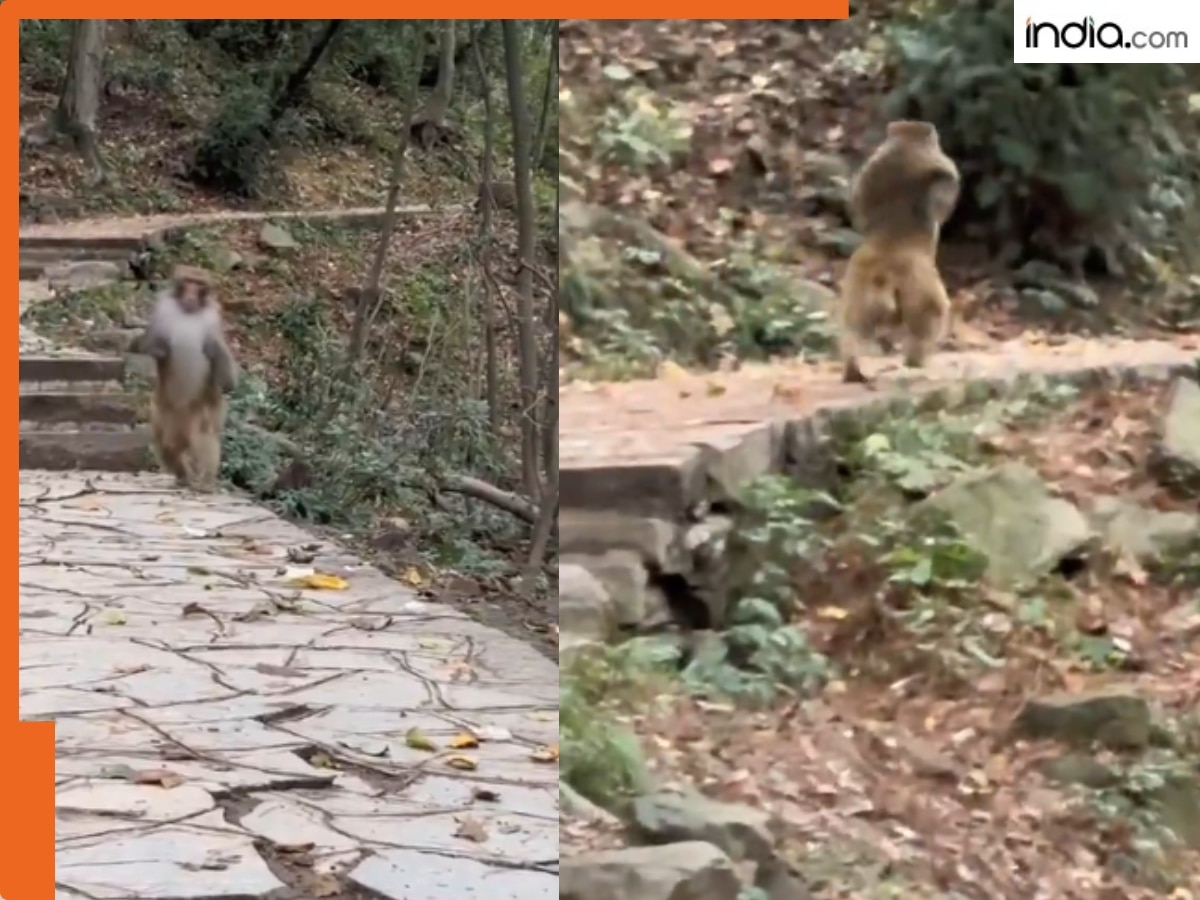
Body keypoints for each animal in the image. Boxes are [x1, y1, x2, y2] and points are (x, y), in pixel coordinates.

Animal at [129, 265, 237, 491]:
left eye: (199, 284)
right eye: (188, 281)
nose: (191, 294)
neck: (188, 311)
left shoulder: (214, 319)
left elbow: (226, 378)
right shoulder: (162, 308)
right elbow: (150, 344)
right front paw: (158, 348)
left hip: (201, 406)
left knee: (202, 435)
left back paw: (205, 482)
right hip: (165, 410)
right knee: (165, 442)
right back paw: (183, 477)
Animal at [838, 121, 961, 384]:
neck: (905, 145)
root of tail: (885, 266)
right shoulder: (942, 166)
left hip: (857, 280)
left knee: (853, 326)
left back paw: (852, 368)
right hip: (920, 283)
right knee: (930, 316)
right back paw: (916, 363)